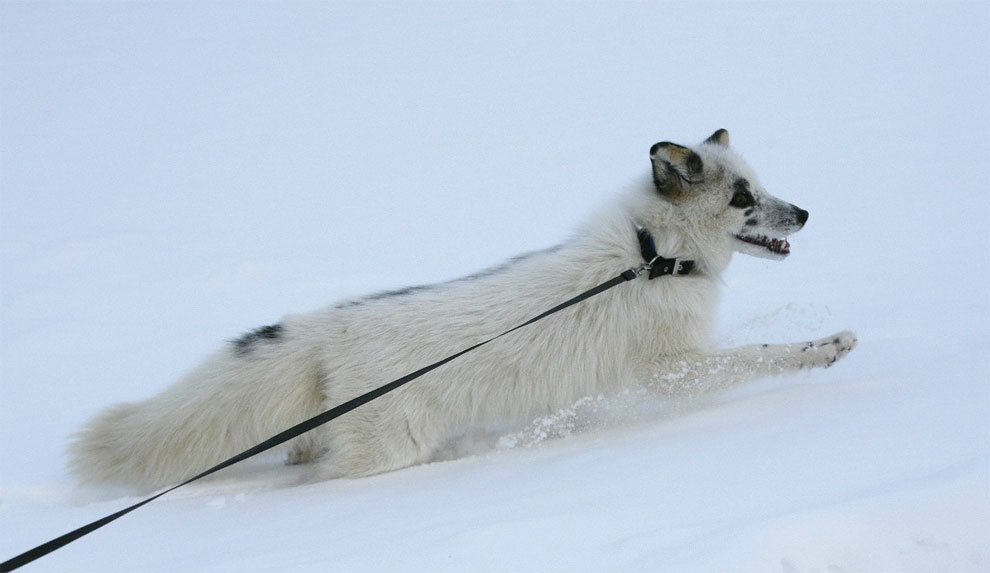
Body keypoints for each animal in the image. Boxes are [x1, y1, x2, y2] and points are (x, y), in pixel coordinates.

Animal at [69, 129, 857, 490]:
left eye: (762, 184)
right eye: (743, 199)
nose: (806, 214)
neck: (651, 252)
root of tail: (328, 324)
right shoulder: (673, 368)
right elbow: (758, 358)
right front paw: (825, 348)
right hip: (386, 451)